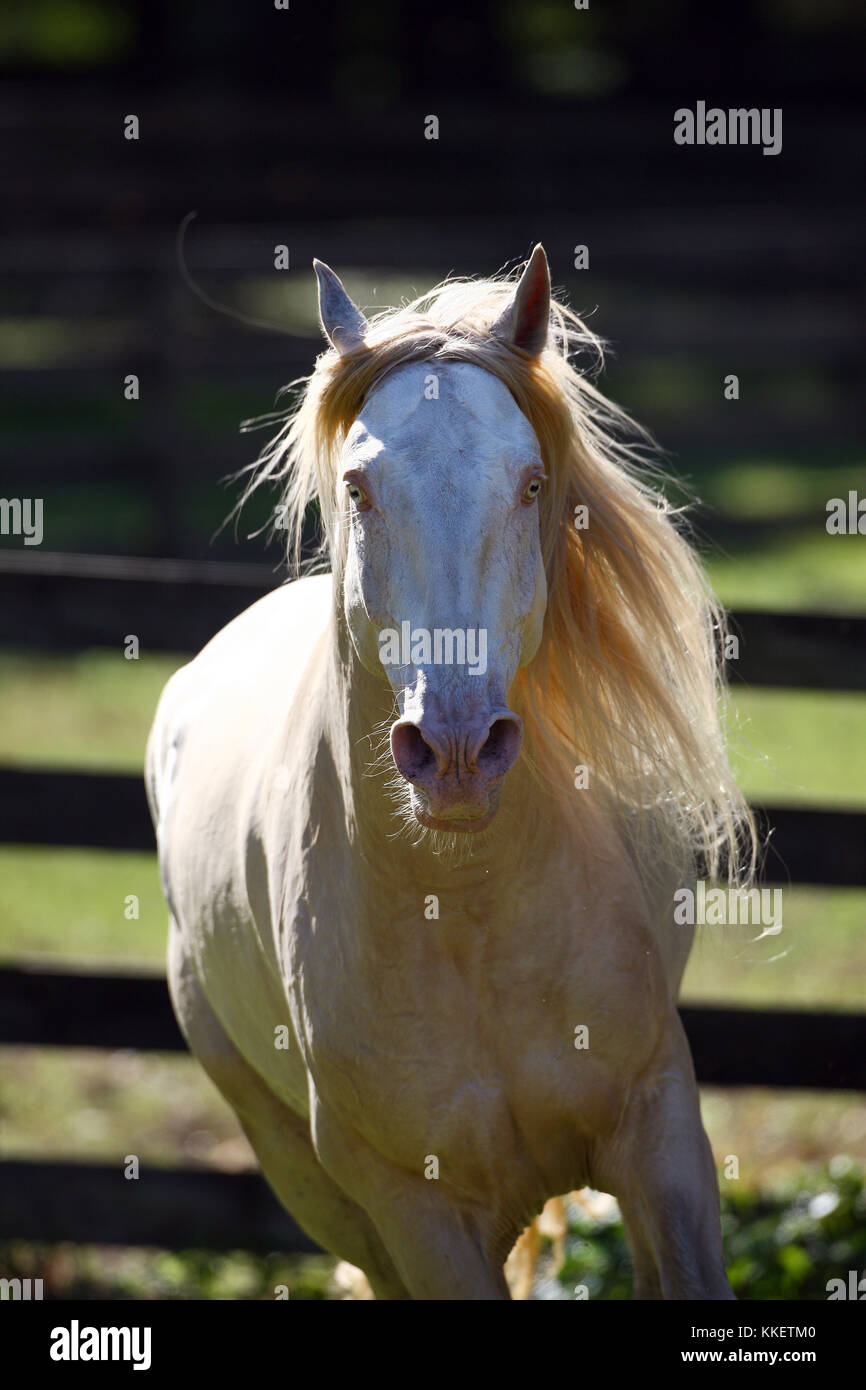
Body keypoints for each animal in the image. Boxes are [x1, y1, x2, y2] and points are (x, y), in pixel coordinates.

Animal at [146, 246, 754, 1299]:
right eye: (358, 488)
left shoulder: (661, 1134)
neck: (465, 914)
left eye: (531, 483)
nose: (459, 751)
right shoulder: (417, 1214)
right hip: (316, 1184)